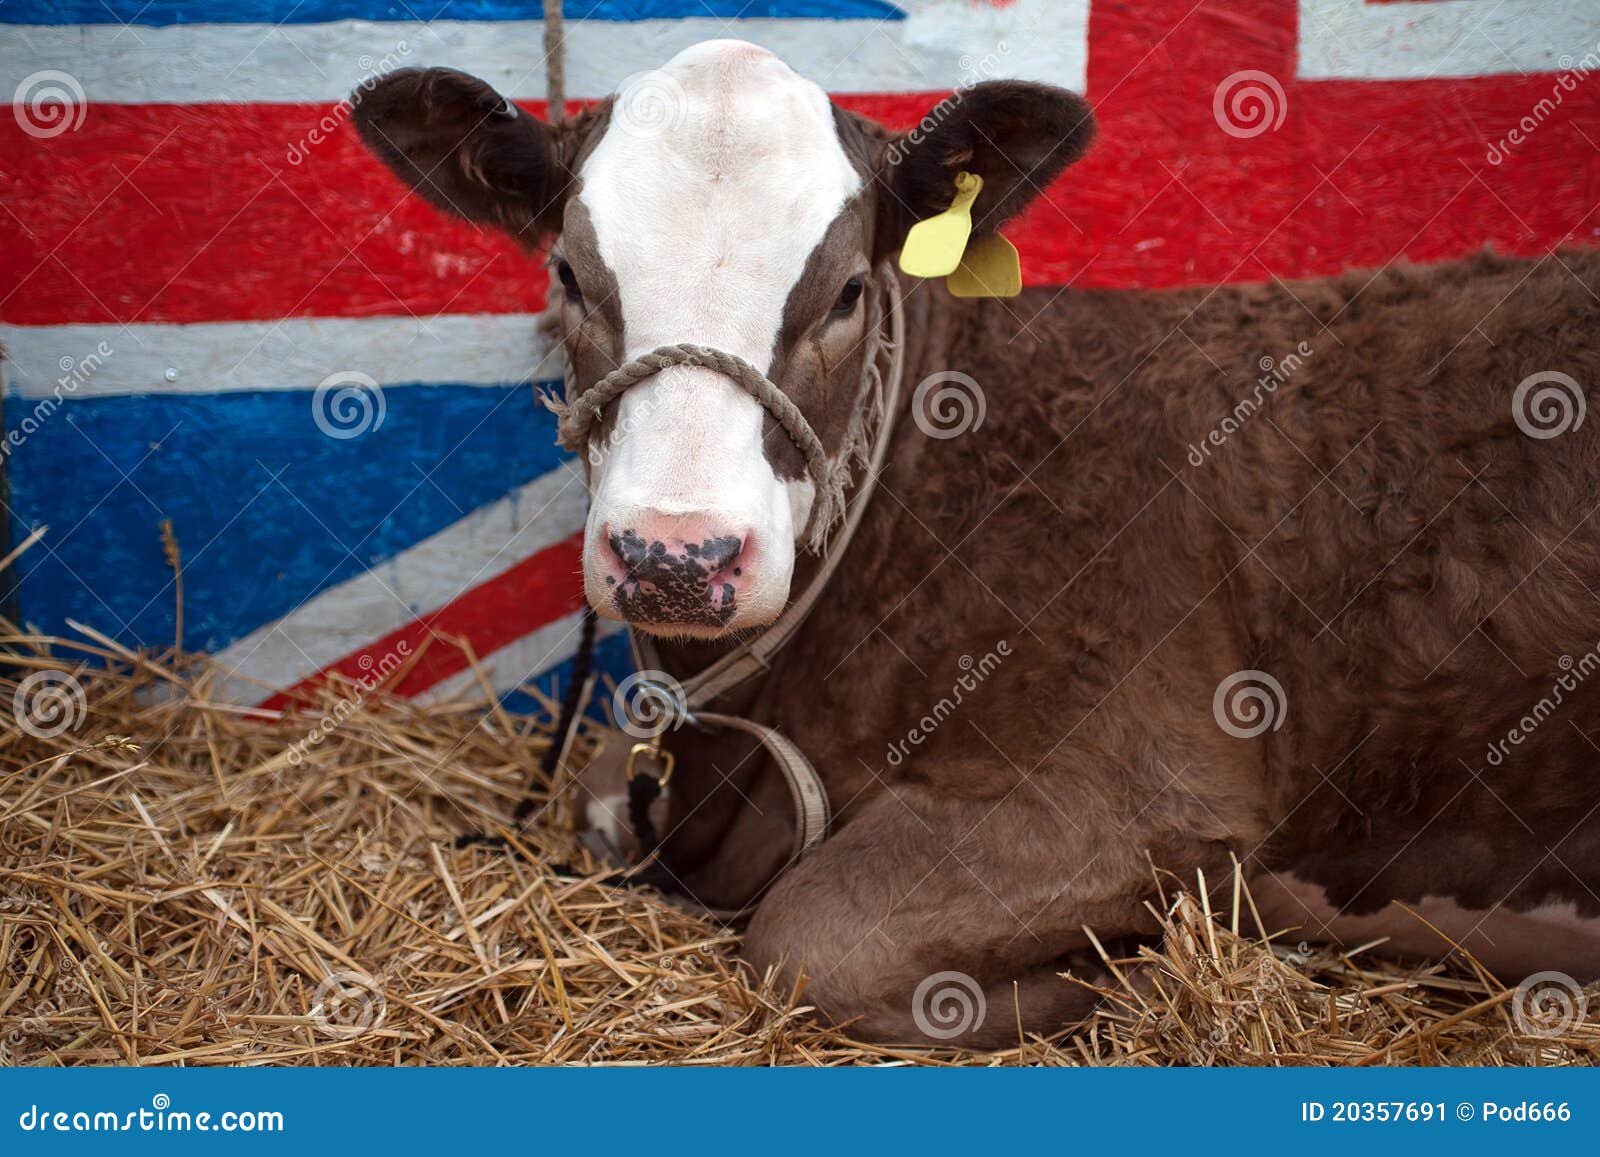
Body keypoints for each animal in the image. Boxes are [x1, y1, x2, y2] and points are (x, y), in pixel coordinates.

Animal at [355, 39, 1600, 1046]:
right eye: (569, 273)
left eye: (848, 292)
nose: (675, 558)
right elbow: (607, 791)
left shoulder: (1134, 783)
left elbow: (813, 933)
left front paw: (1141, 965)